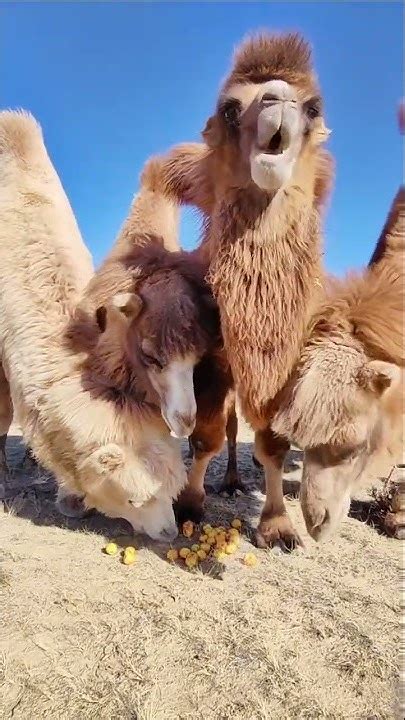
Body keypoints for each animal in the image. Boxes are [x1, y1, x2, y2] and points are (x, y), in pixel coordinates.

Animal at [142, 31, 334, 545]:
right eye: (230, 108)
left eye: (313, 108)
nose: (279, 100)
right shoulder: (212, 358)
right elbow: (204, 434)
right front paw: (189, 505)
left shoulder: (289, 360)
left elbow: (272, 442)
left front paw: (278, 526)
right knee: (225, 427)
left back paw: (232, 480)